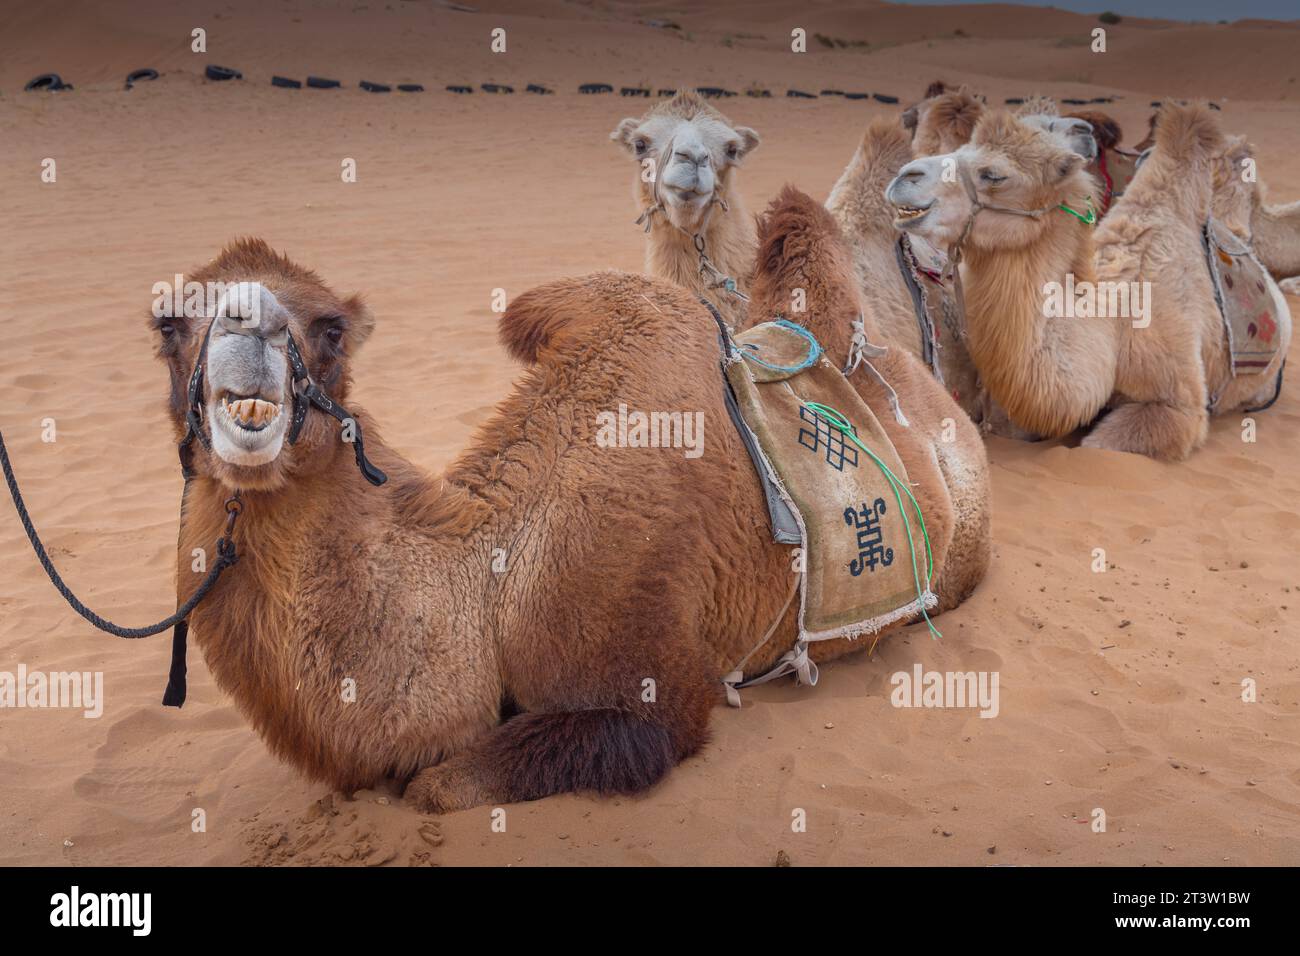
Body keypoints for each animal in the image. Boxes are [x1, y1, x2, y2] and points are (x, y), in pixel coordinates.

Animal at [150, 237, 988, 812]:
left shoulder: (651, 688)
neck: (491, 580)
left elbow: (437, 786)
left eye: (328, 329)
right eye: (165, 322)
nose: (246, 325)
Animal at [885, 103, 1290, 460]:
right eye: (959, 148)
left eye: (994, 174)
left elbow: (1100, 446)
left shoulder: (1179, 406)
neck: (1113, 327)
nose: (905, 176)